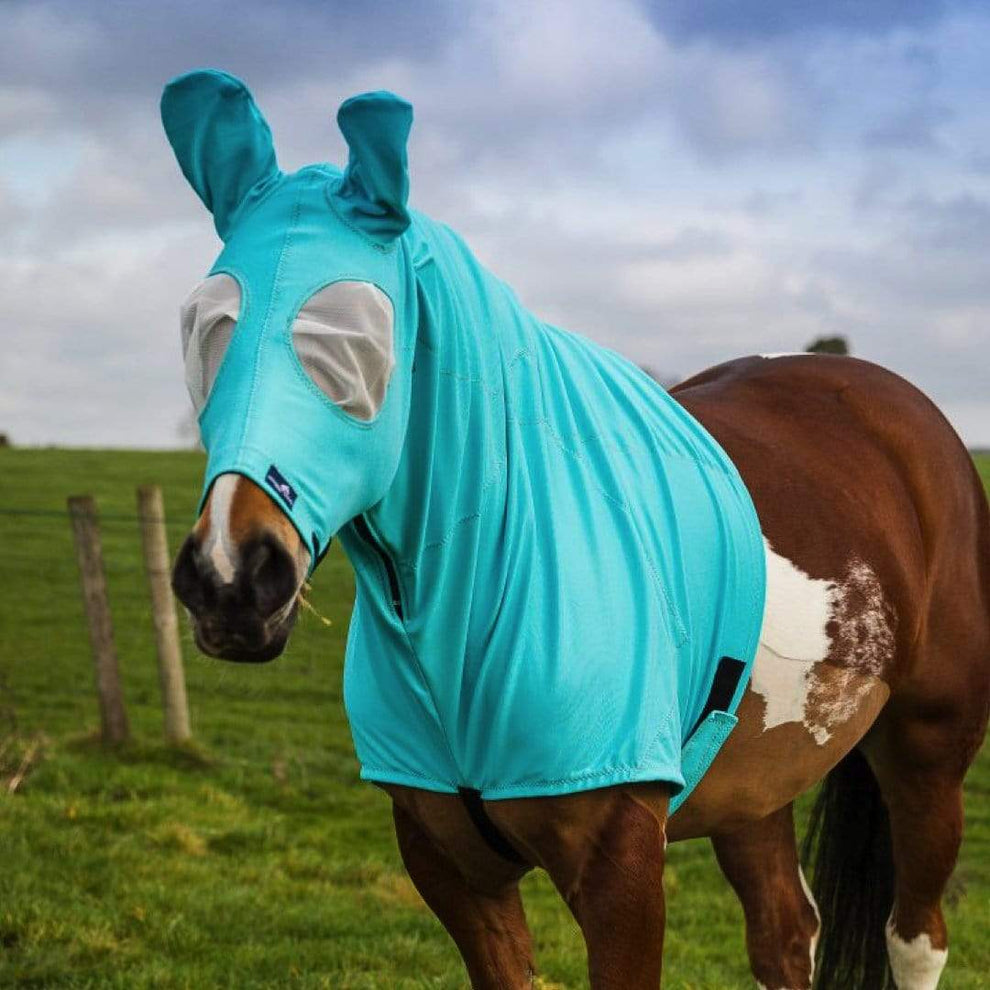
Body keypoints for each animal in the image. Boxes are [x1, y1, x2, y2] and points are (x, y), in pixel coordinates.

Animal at [163, 71, 990, 989]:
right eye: (202, 326)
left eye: (352, 341)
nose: (230, 577)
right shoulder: (453, 870)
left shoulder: (620, 871)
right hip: (757, 791)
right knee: (786, 931)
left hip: (928, 755)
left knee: (915, 936)